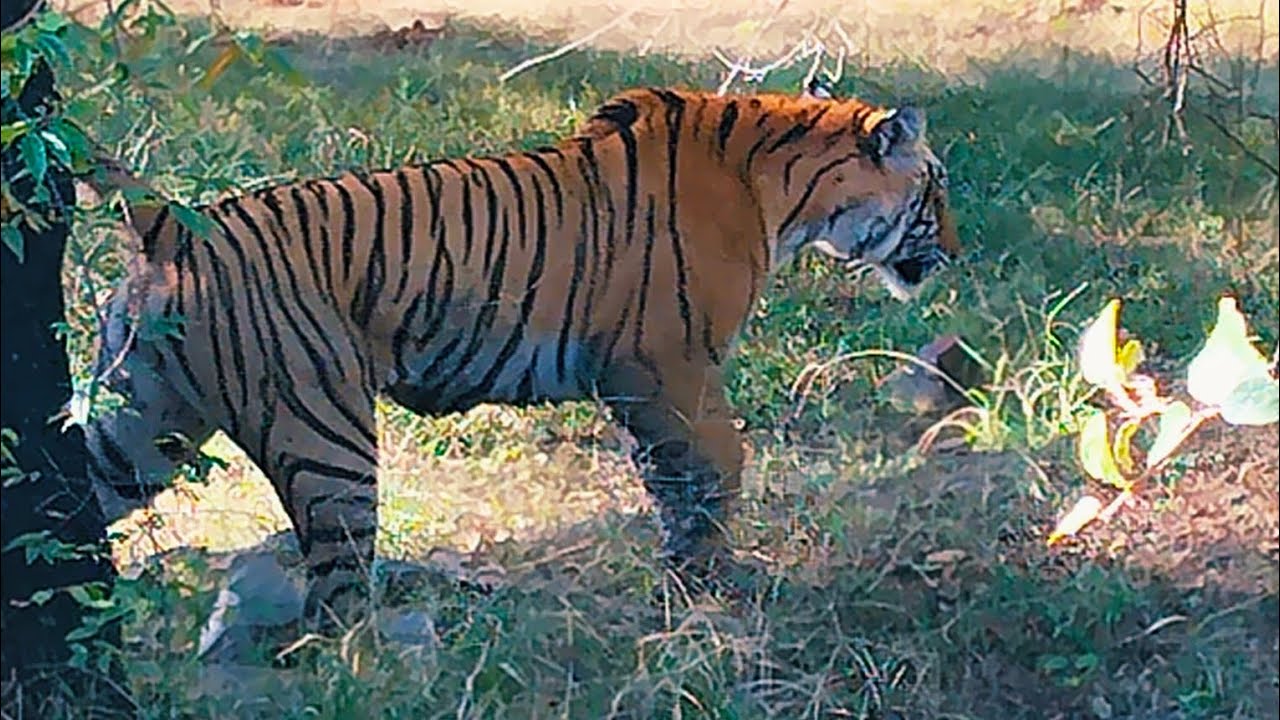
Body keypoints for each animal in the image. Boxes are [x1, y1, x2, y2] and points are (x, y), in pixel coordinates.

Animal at [82, 81, 960, 638]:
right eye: (937, 191)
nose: (953, 248)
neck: (785, 191)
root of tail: (171, 222)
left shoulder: (640, 380)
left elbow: (674, 484)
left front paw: (685, 584)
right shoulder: (673, 364)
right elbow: (716, 471)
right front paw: (713, 592)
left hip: (135, 426)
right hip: (323, 431)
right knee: (333, 592)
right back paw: (381, 660)